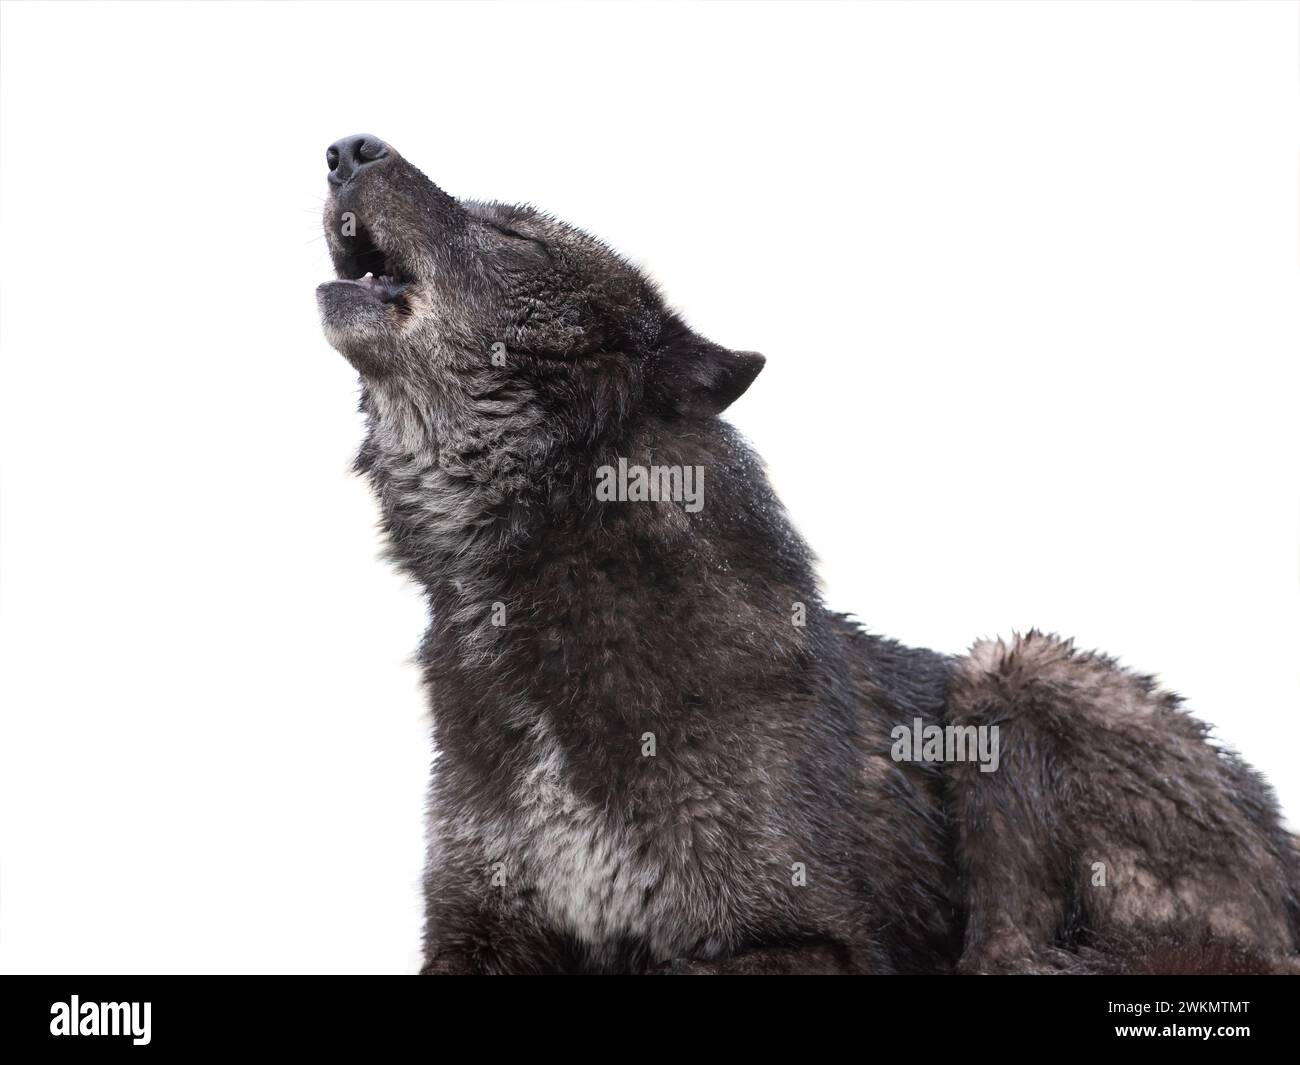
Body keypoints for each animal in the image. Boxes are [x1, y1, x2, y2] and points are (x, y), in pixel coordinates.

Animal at [316, 134, 1299, 974]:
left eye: (510, 232)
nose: (348, 149)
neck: (550, 580)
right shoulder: (474, 928)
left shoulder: (810, 935)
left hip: (1014, 672)